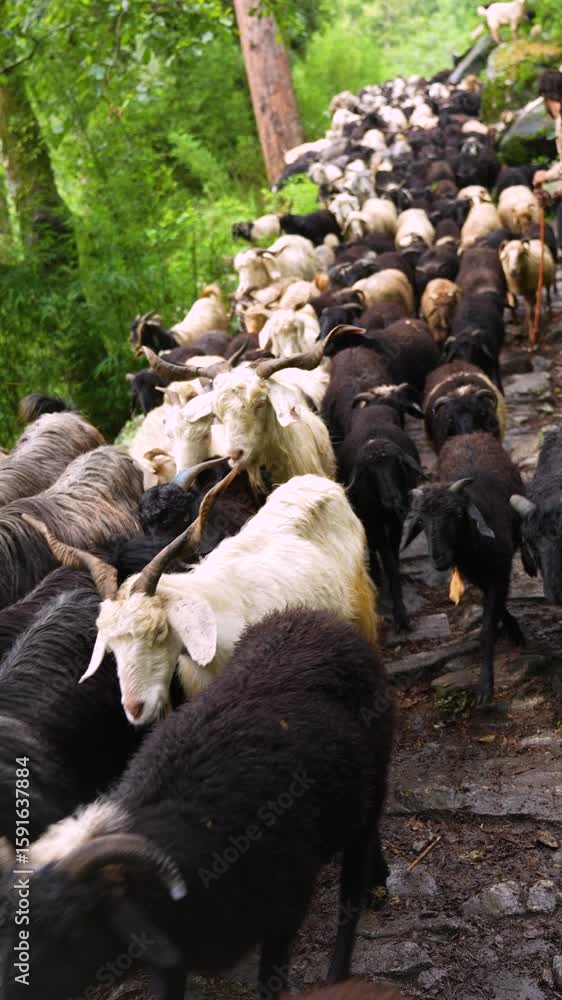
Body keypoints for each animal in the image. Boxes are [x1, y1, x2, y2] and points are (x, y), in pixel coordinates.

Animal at [404, 433, 526, 702]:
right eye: (422, 521)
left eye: (457, 514)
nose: (439, 558)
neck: (474, 549)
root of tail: (466, 435)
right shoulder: (478, 575)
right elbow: (494, 605)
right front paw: (511, 628)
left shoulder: (500, 572)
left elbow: (487, 628)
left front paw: (485, 688)